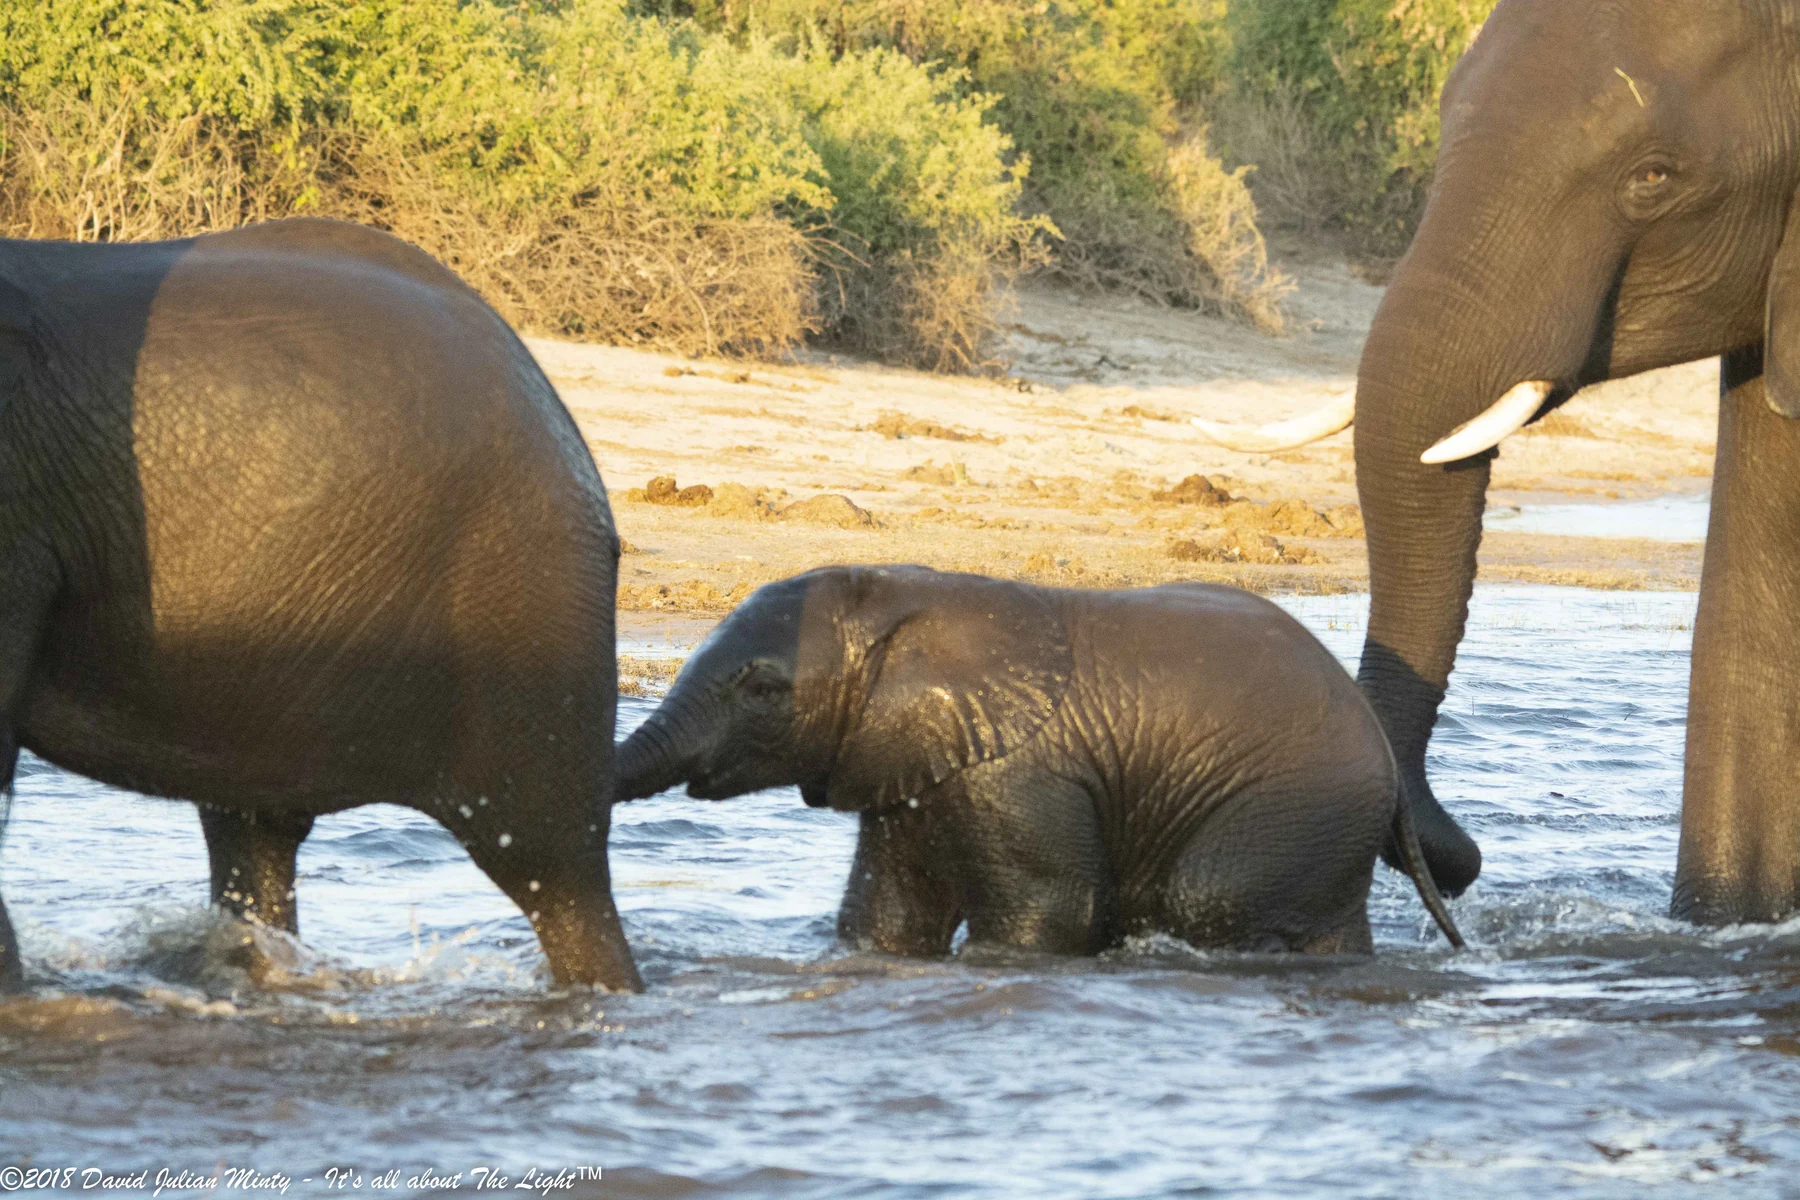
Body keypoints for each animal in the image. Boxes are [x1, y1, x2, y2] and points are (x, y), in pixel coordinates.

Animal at [615, 566, 1462, 957]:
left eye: (763, 689)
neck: (894, 594)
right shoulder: (911, 764)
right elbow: (885, 919)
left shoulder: (1018, 774)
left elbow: (1051, 914)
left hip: (1298, 804)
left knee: (1207, 901)